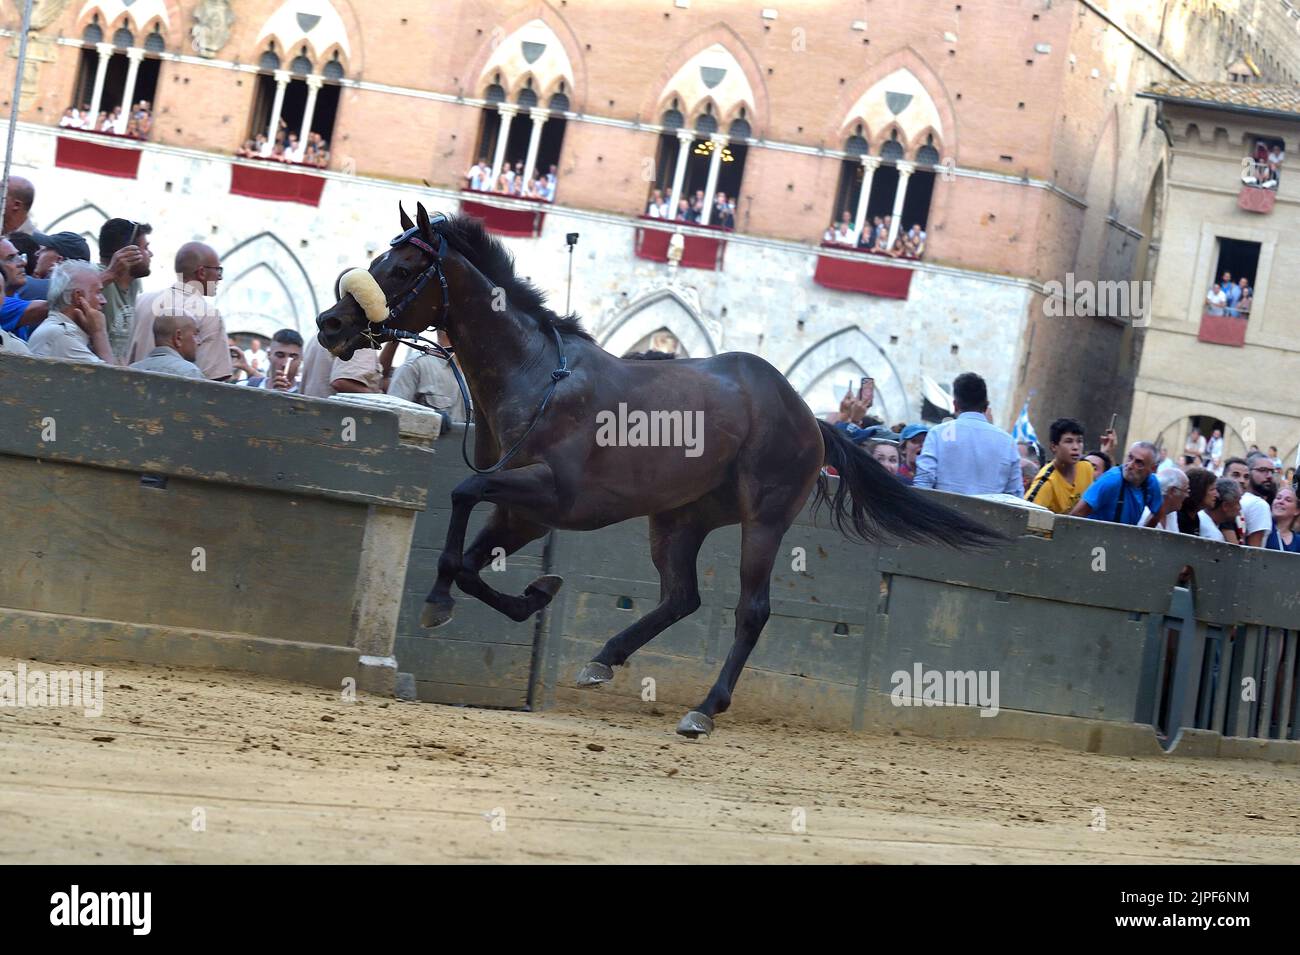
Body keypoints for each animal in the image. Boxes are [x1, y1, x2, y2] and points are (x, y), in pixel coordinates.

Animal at [316, 203, 1001, 738]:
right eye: (380, 259)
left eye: (404, 268)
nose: (331, 323)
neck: (536, 378)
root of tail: (810, 415)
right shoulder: (522, 510)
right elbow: (468, 559)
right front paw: (531, 595)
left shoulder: (551, 494)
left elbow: (460, 497)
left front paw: (441, 600)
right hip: (679, 518)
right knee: (681, 595)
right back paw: (603, 658)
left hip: (764, 519)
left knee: (750, 610)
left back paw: (704, 709)